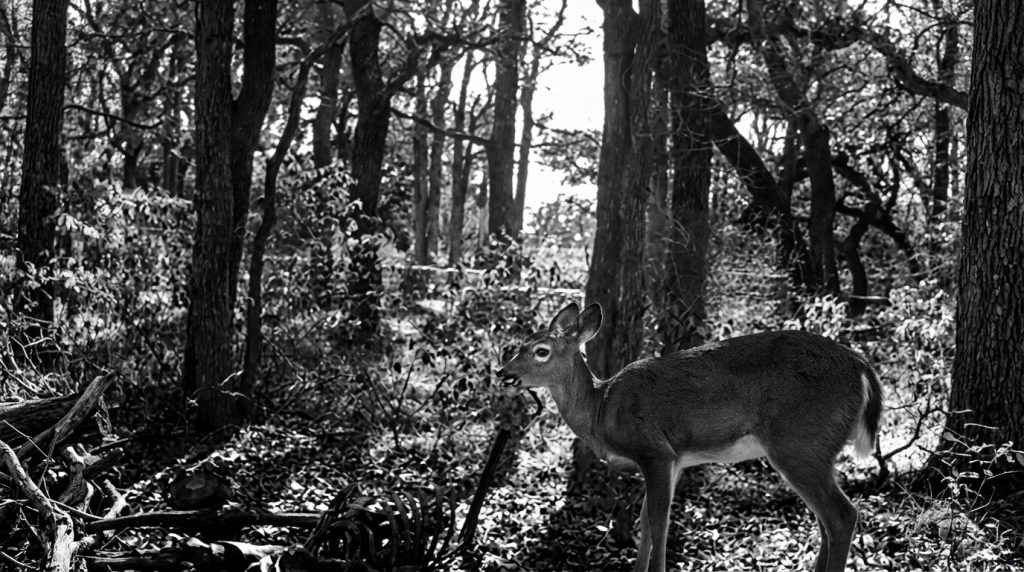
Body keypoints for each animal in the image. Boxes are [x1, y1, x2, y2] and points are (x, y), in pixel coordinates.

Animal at [497, 302, 882, 572]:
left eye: (541, 350)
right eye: (518, 345)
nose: (503, 374)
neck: (602, 409)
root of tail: (861, 365)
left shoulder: (655, 451)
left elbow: (658, 521)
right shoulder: (676, 461)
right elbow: (644, 521)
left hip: (799, 441)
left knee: (841, 516)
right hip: (815, 449)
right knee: (825, 521)